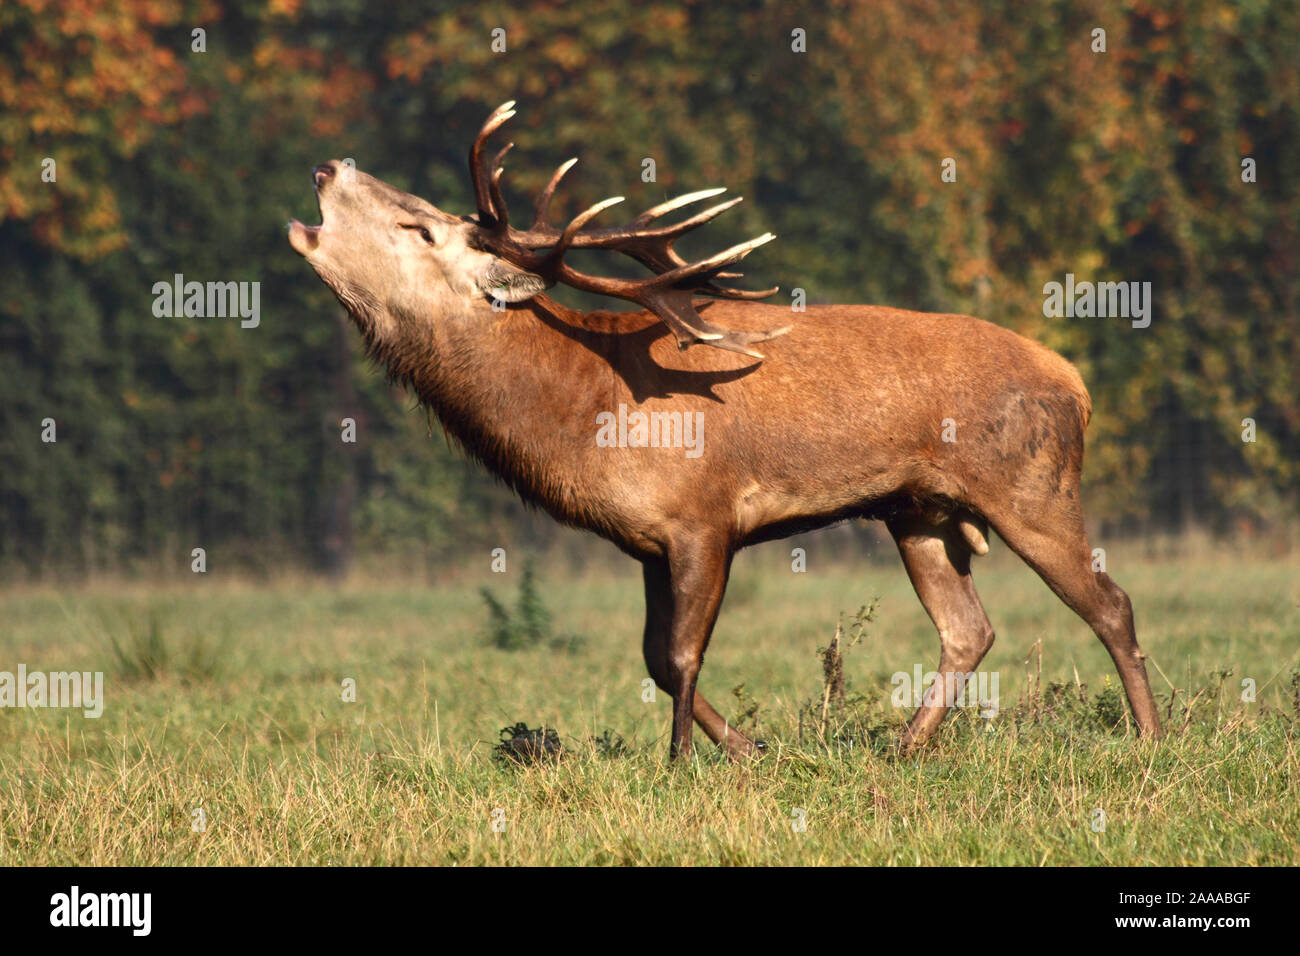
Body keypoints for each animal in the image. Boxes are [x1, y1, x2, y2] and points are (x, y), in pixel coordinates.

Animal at [288, 101, 1163, 760]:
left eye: (423, 230)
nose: (327, 167)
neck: (586, 415)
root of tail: (1076, 383)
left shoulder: (704, 516)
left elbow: (681, 655)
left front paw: (680, 765)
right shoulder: (645, 540)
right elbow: (655, 660)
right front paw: (747, 750)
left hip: (1031, 487)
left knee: (1110, 603)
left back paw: (1151, 739)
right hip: (919, 511)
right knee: (967, 628)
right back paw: (906, 747)